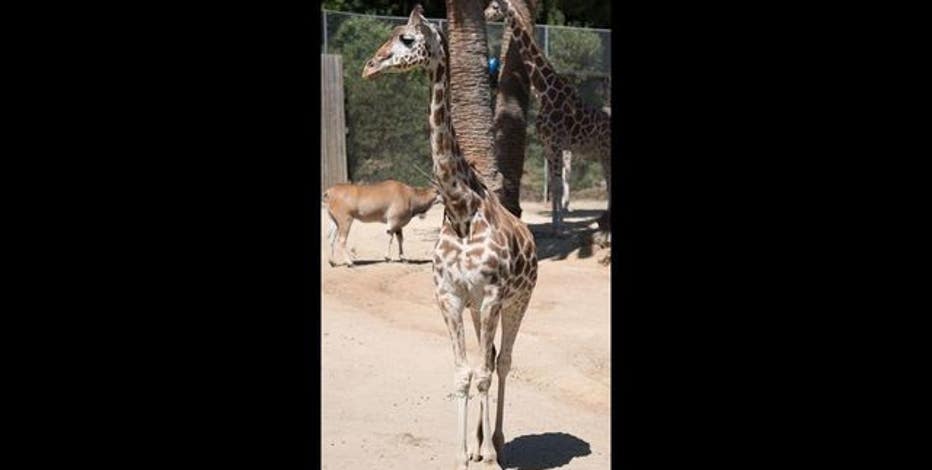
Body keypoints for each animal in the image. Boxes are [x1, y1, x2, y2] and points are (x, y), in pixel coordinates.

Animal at [362, 6, 538, 470]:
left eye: (406, 39)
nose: (369, 66)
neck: (460, 208)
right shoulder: (450, 296)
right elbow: (463, 374)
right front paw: (462, 454)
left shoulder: (493, 296)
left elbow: (486, 372)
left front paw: (488, 456)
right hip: (477, 308)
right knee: (488, 358)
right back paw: (479, 443)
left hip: (518, 300)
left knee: (504, 361)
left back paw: (496, 443)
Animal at [486, 0, 612, 241]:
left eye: (496, 5)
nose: (486, 14)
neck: (544, 91)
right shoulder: (548, 145)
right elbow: (554, 186)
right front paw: (555, 227)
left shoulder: (556, 143)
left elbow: (558, 185)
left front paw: (560, 229)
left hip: (604, 152)